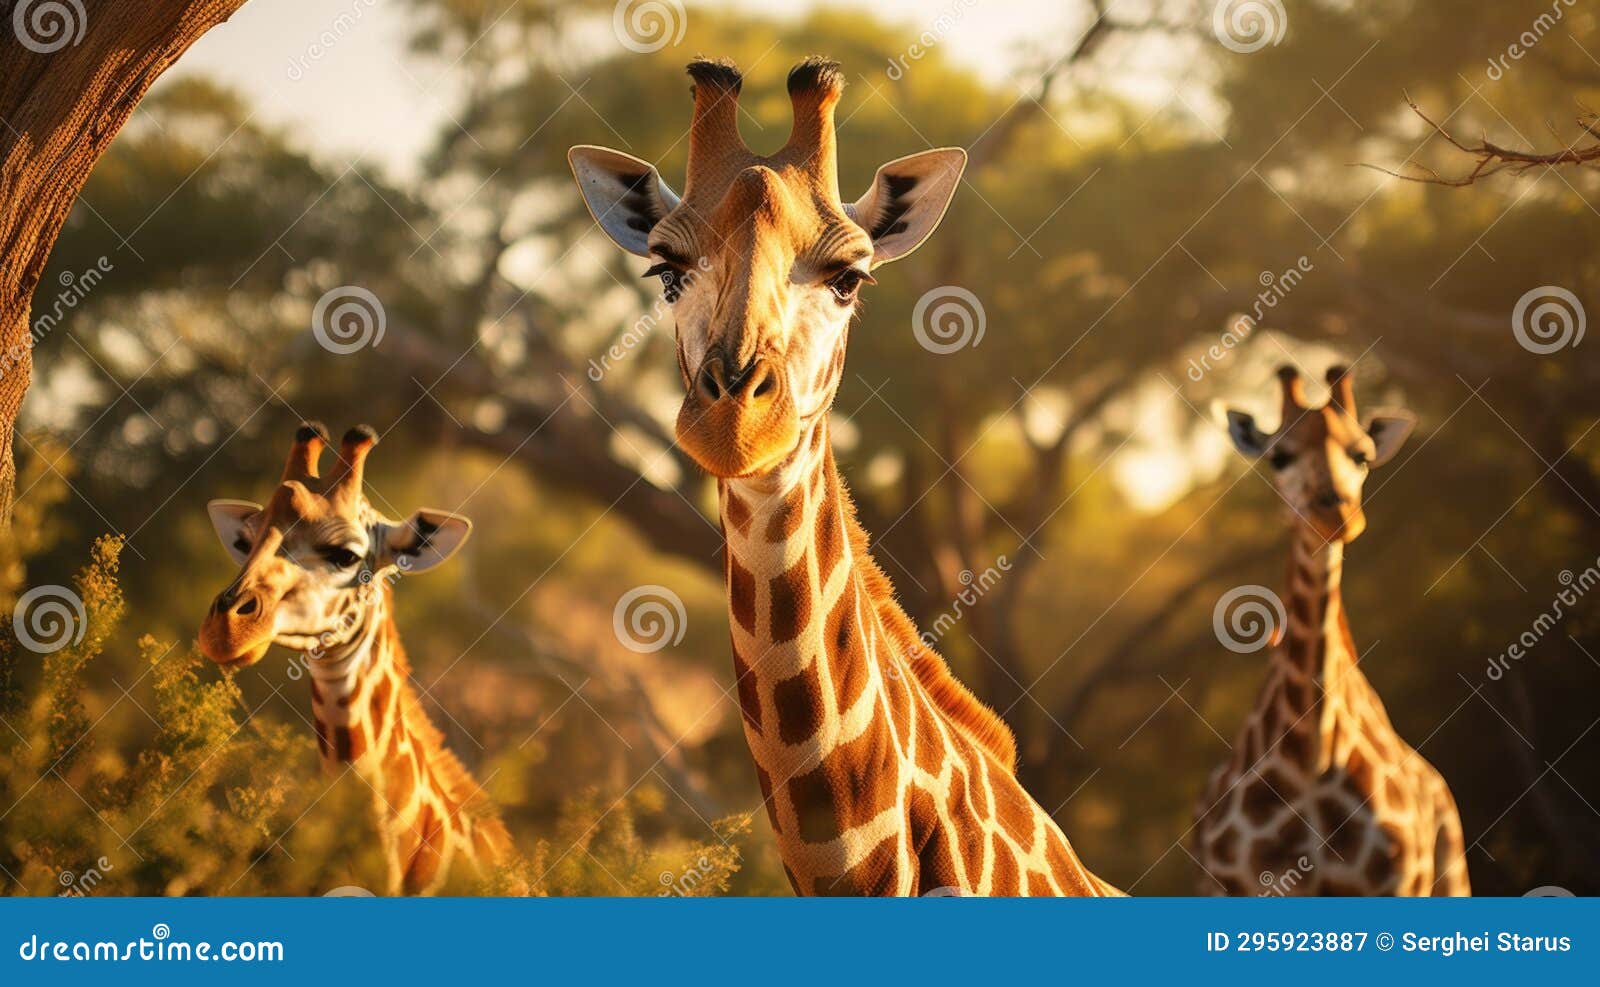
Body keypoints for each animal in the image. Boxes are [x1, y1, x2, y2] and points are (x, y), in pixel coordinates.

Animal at [1193, 365, 1470, 896]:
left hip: (1450, 876)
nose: (1335, 514)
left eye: (1361, 454)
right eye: (1279, 456)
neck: (1310, 755)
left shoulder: (1394, 887)